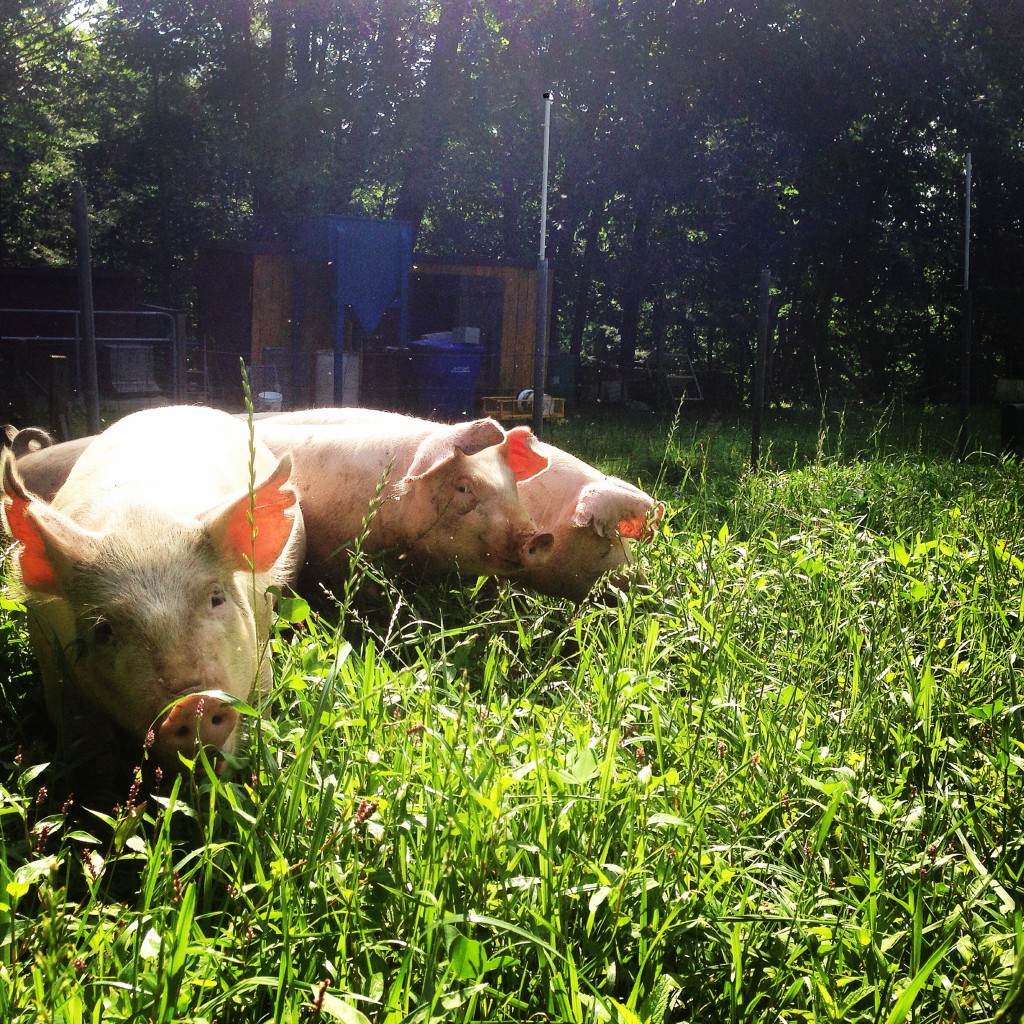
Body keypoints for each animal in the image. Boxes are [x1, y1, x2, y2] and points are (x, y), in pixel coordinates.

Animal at [0, 405, 304, 781]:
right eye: (104, 630)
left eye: (216, 598)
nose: (193, 704)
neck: (141, 522)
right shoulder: (55, 670)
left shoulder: (260, 643)